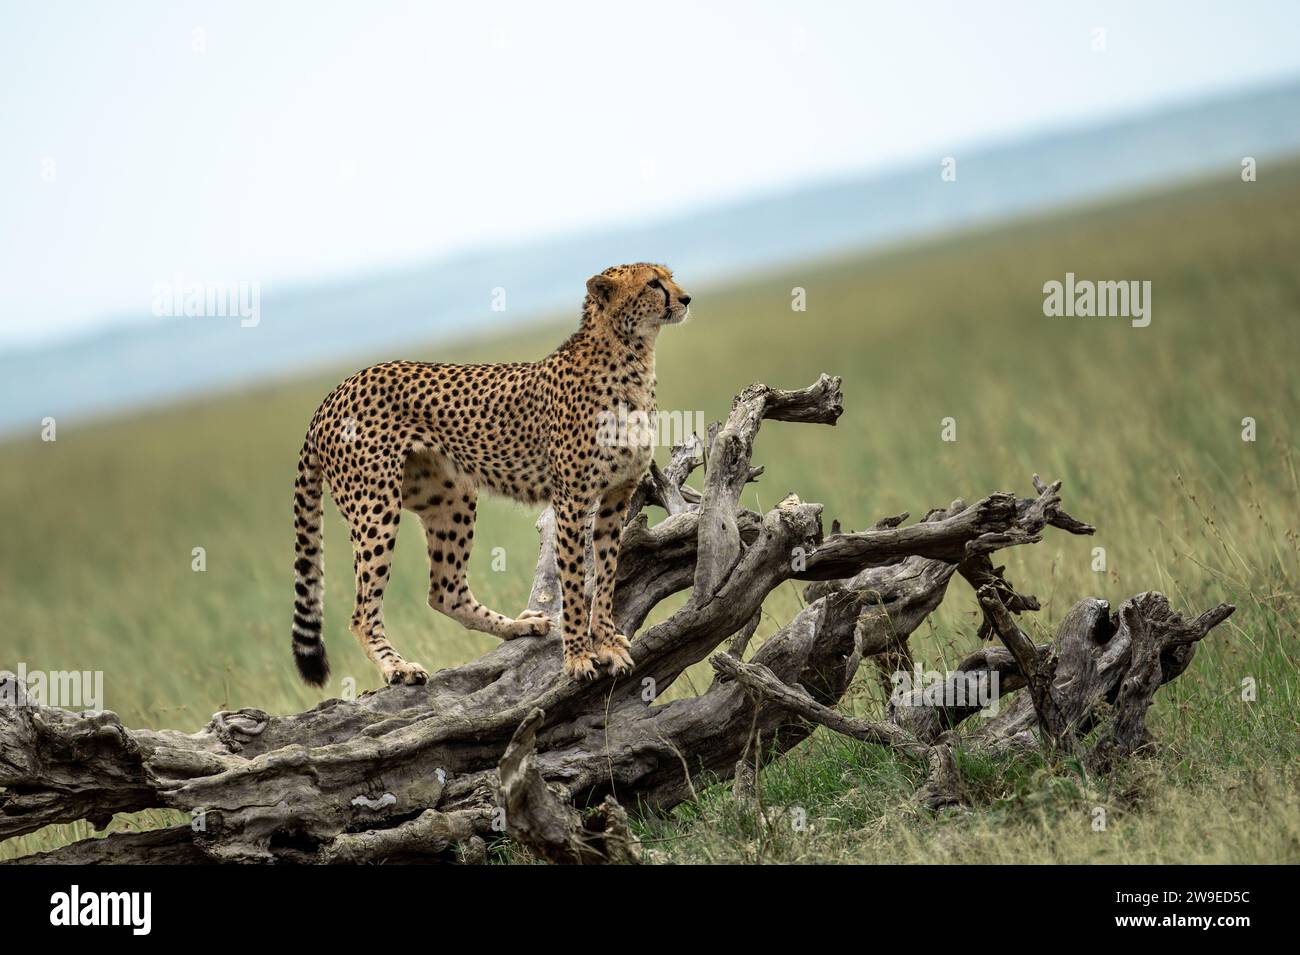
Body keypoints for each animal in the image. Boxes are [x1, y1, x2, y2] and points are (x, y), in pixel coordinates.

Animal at [289, 263, 691, 687]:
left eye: (668, 276)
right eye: (653, 283)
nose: (685, 298)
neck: (632, 355)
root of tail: (334, 393)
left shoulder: (616, 496)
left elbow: (606, 575)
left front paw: (608, 644)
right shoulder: (571, 501)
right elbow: (573, 583)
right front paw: (579, 657)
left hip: (450, 497)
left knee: (445, 591)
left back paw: (516, 626)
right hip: (376, 506)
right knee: (362, 613)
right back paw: (397, 667)